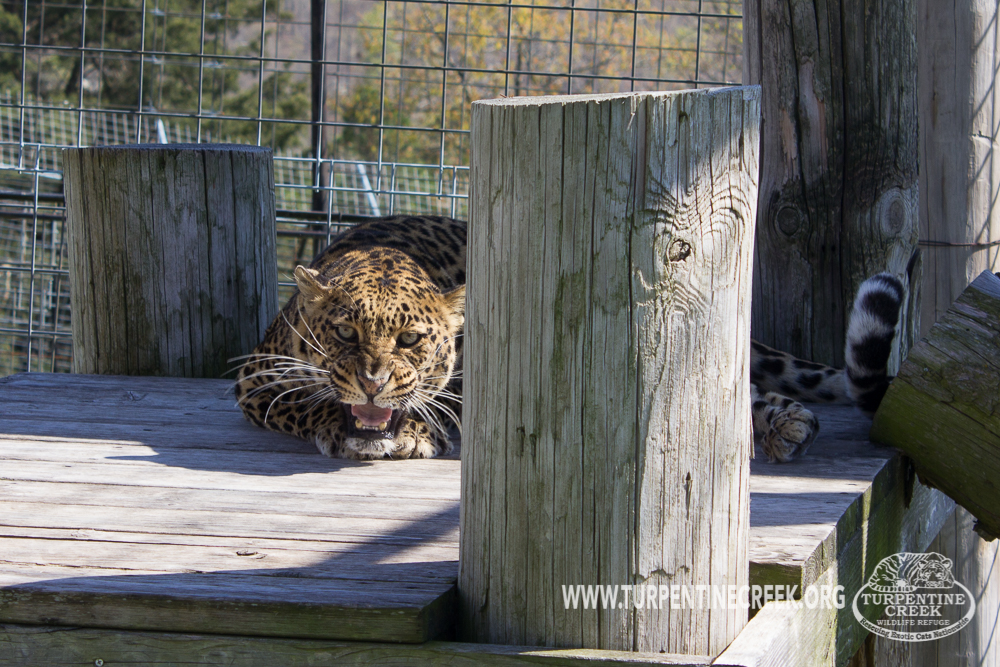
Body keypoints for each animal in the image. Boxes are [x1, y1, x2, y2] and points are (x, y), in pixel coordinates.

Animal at [234, 215, 905, 463]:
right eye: (345, 331)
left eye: (410, 341)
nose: (373, 382)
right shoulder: (255, 376)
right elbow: (306, 401)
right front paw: (349, 425)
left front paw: (415, 431)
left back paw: (784, 422)